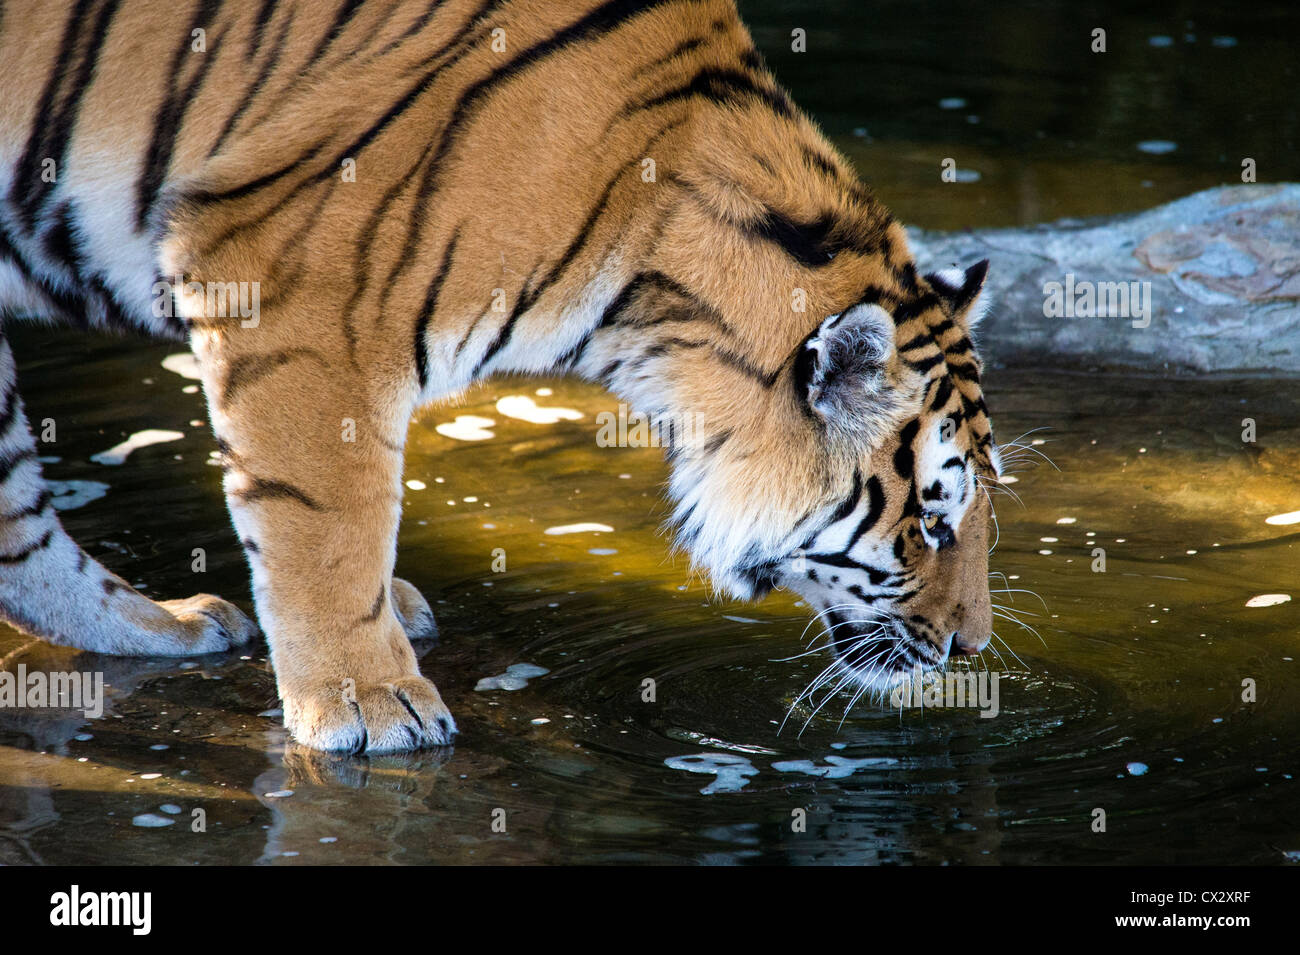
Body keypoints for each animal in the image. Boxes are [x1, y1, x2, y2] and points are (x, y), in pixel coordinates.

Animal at [0, 0, 1002, 753]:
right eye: (931, 524)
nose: (970, 647)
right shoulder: (295, 291)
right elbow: (327, 515)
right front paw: (368, 698)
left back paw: (166, 625)